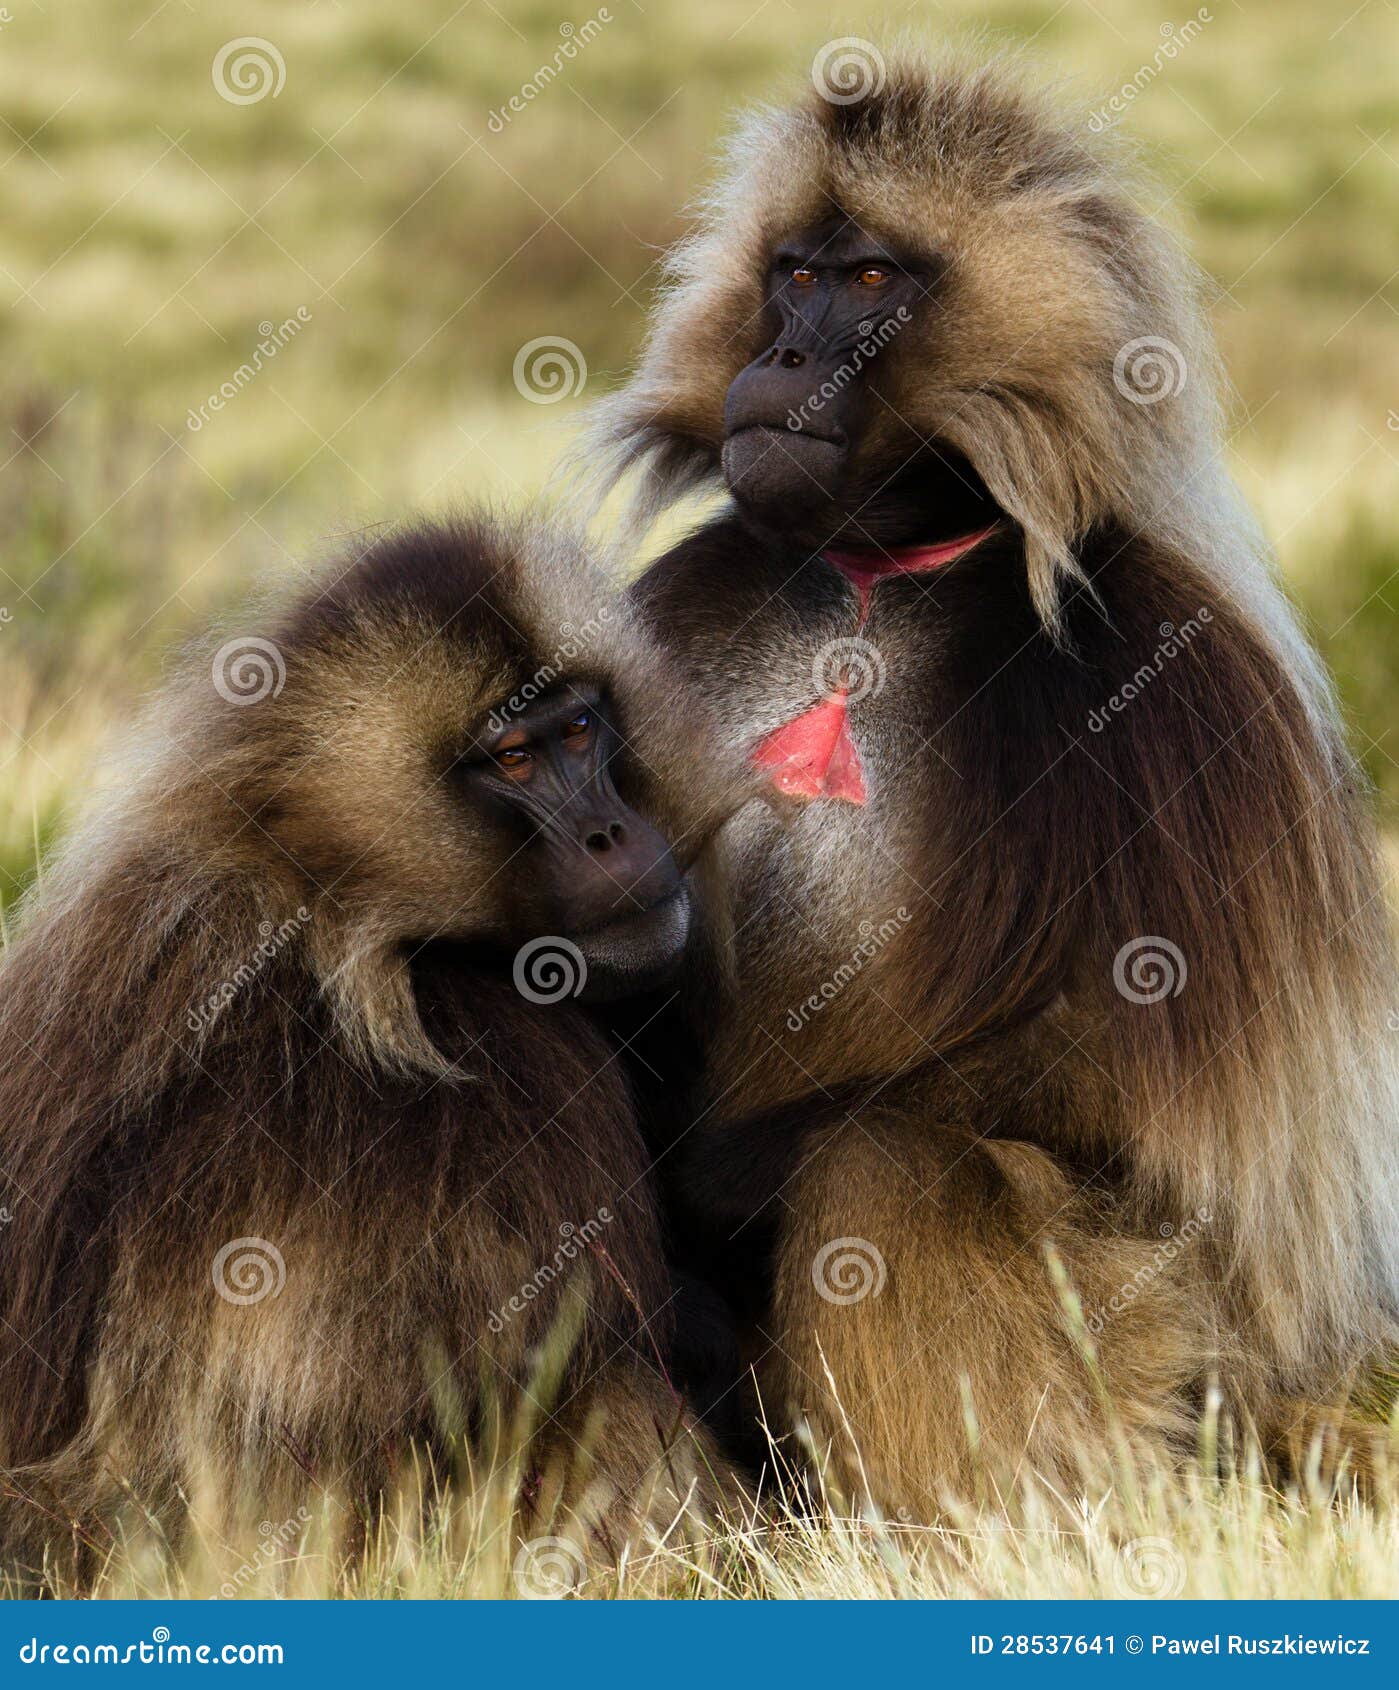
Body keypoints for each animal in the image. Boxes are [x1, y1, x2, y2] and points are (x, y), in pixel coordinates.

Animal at [581, 50, 1399, 1513]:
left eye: (867, 280)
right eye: (791, 272)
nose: (780, 357)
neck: (884, 568)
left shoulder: (1173, 672)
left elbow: (1125, 1066)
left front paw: (705, 1175)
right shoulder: (682, 604)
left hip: (1159, 1347)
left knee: (888, 1160)